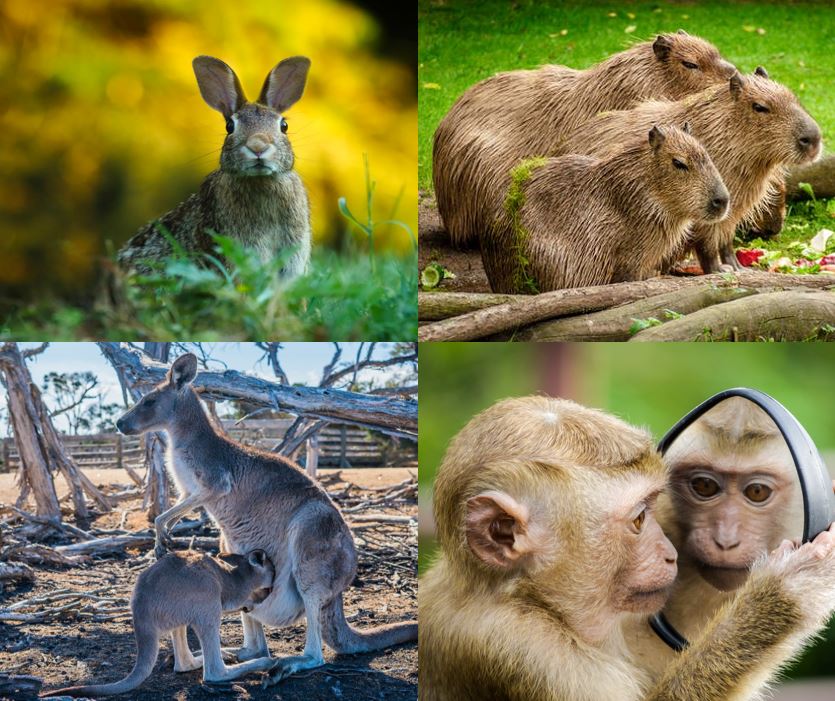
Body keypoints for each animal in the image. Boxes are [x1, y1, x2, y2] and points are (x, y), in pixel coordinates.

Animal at [43, 552, 274, 696]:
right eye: (268, 588)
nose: (254, 607)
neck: (234, 578)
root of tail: (141, 614)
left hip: (177, 613)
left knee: (183, 663)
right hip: (206, 599)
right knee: (214, 672)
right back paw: (264, 663)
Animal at [422, 396, 835, 696]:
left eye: (653, 506)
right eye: (638, 519)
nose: (670, 553)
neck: (525, 597)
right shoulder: (528, 653)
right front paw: (786, 595)